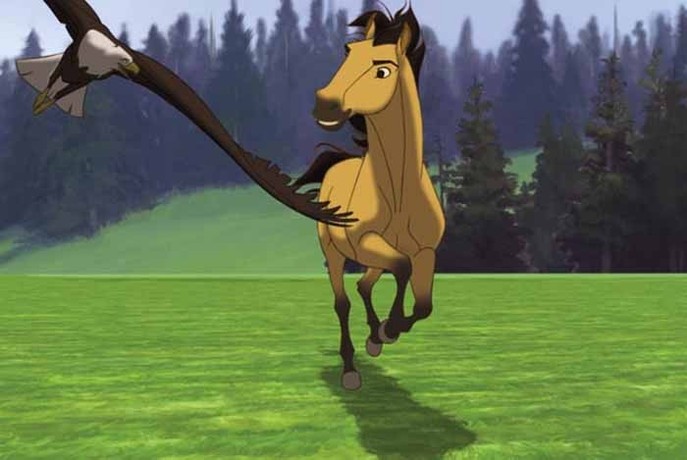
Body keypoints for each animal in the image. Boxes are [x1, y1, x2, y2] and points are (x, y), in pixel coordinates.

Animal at [296, 6, 445, 390]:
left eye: (383, 70)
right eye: (348, 53)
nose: (325, 103)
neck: (397, 195)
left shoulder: (426, 251)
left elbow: (424, 305)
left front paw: (386, 331)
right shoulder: (366, 243)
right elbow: (402, 269)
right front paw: (389, 328)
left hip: (371, 259)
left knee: (364, 285)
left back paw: (374, 338)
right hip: (335, 253)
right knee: (343, 301)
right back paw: (351, 367)